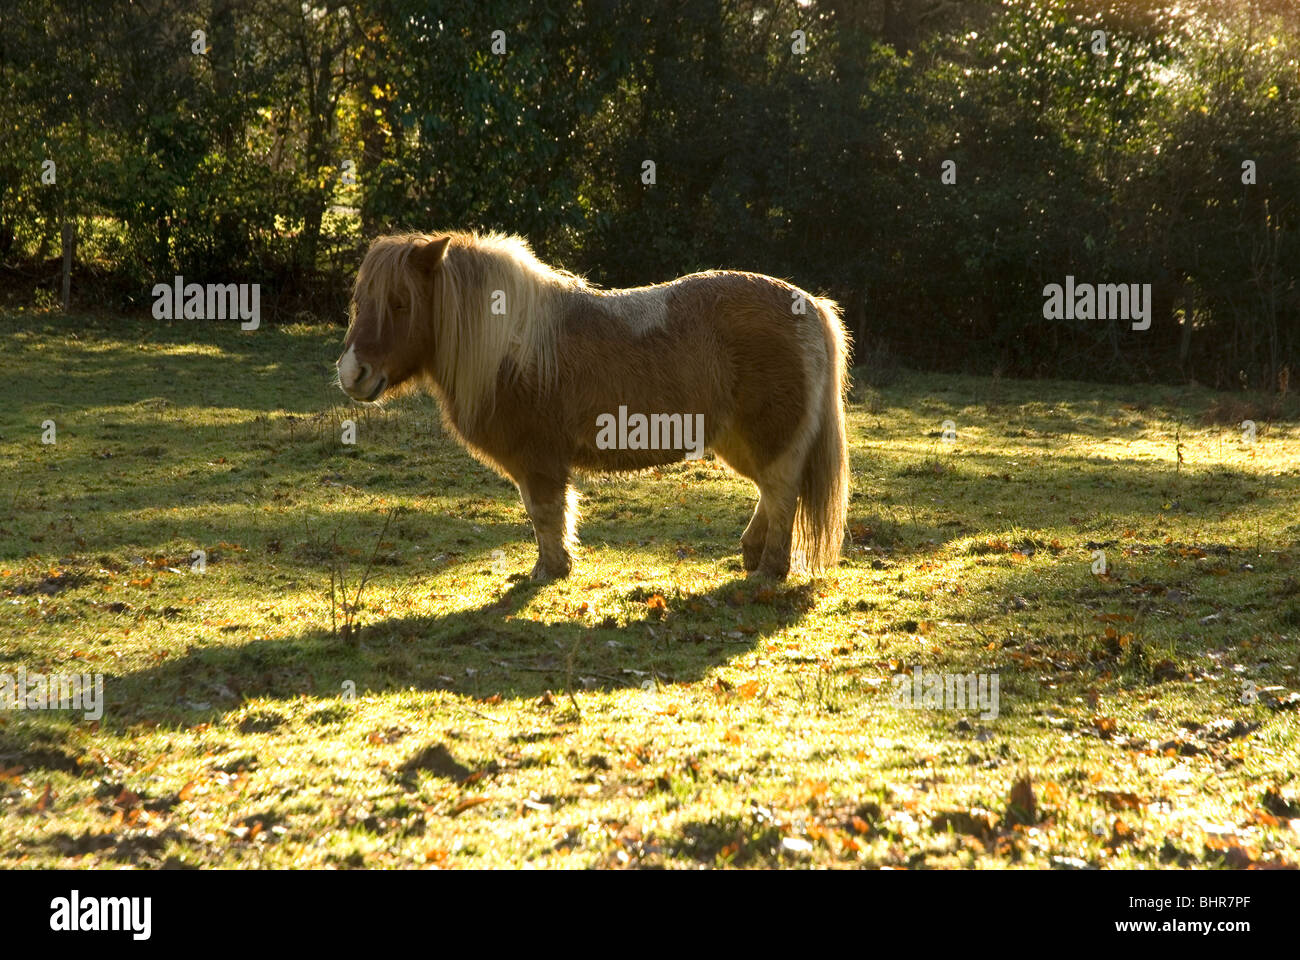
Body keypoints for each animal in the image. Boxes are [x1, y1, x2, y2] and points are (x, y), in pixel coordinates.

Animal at [336, 230, 850, 581]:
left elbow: (545, 514)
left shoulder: (539, 461)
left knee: (781, 493)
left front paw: (550, 571)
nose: (351, 373)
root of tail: (810, 305)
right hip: (740, 440)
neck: (510, 346)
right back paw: (750, 553)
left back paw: (768, 570)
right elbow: (544, 514)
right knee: (770, 491)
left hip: (772, 438)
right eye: (359, 301)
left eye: (400, 303)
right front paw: (553, 567)